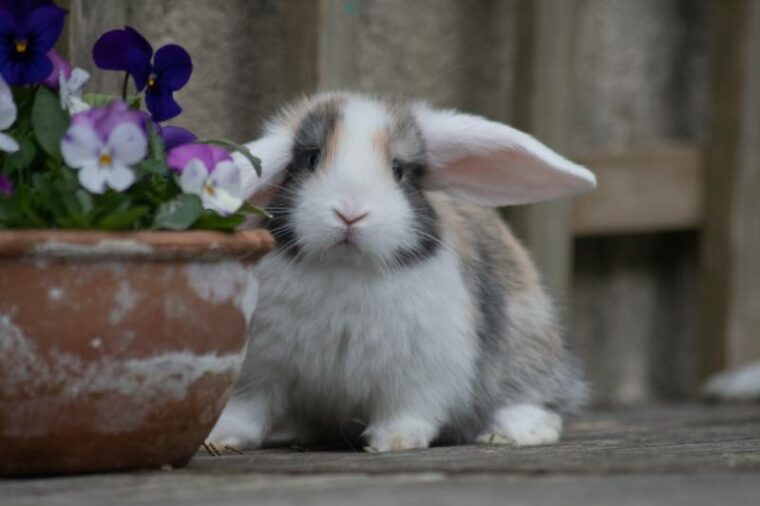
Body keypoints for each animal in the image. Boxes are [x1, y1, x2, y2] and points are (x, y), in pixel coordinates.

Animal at [208, 92, 596, 452]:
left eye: (399, 171)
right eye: (311, 159)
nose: (351, 212)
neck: (347, 268)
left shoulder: (422, 371)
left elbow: (409, 409)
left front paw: (393, 441)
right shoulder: (260, 366)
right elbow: (246, 408)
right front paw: (221, 440)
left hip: (527, 348)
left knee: (535, 401)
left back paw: (510, 433)